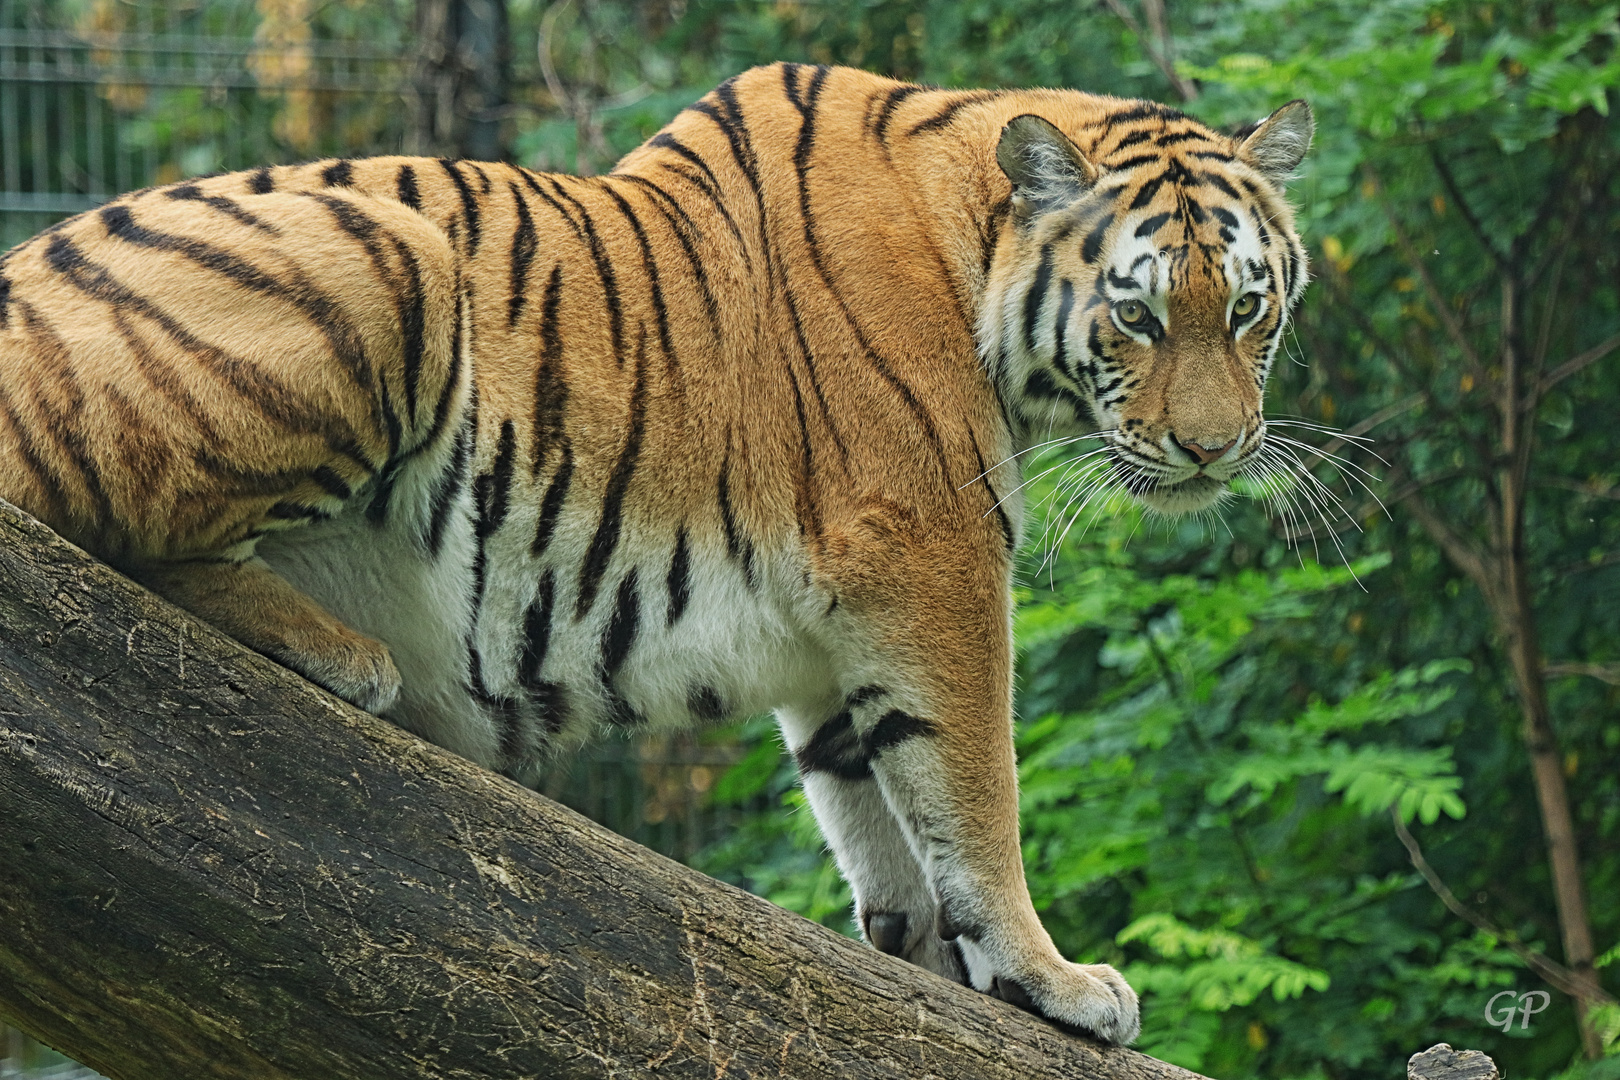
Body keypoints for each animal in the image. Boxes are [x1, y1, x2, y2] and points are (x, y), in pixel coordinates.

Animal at [0, 62, 1312, 1045]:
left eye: (1248, 308)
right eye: (1137, 316)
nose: (1215, 450)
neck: (975, 259)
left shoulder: (835, 630)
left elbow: (882, 803)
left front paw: (932, 968)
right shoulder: (926, 551)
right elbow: (976, 786)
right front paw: (1057, 982)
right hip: (387, 253)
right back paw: (344, 654)